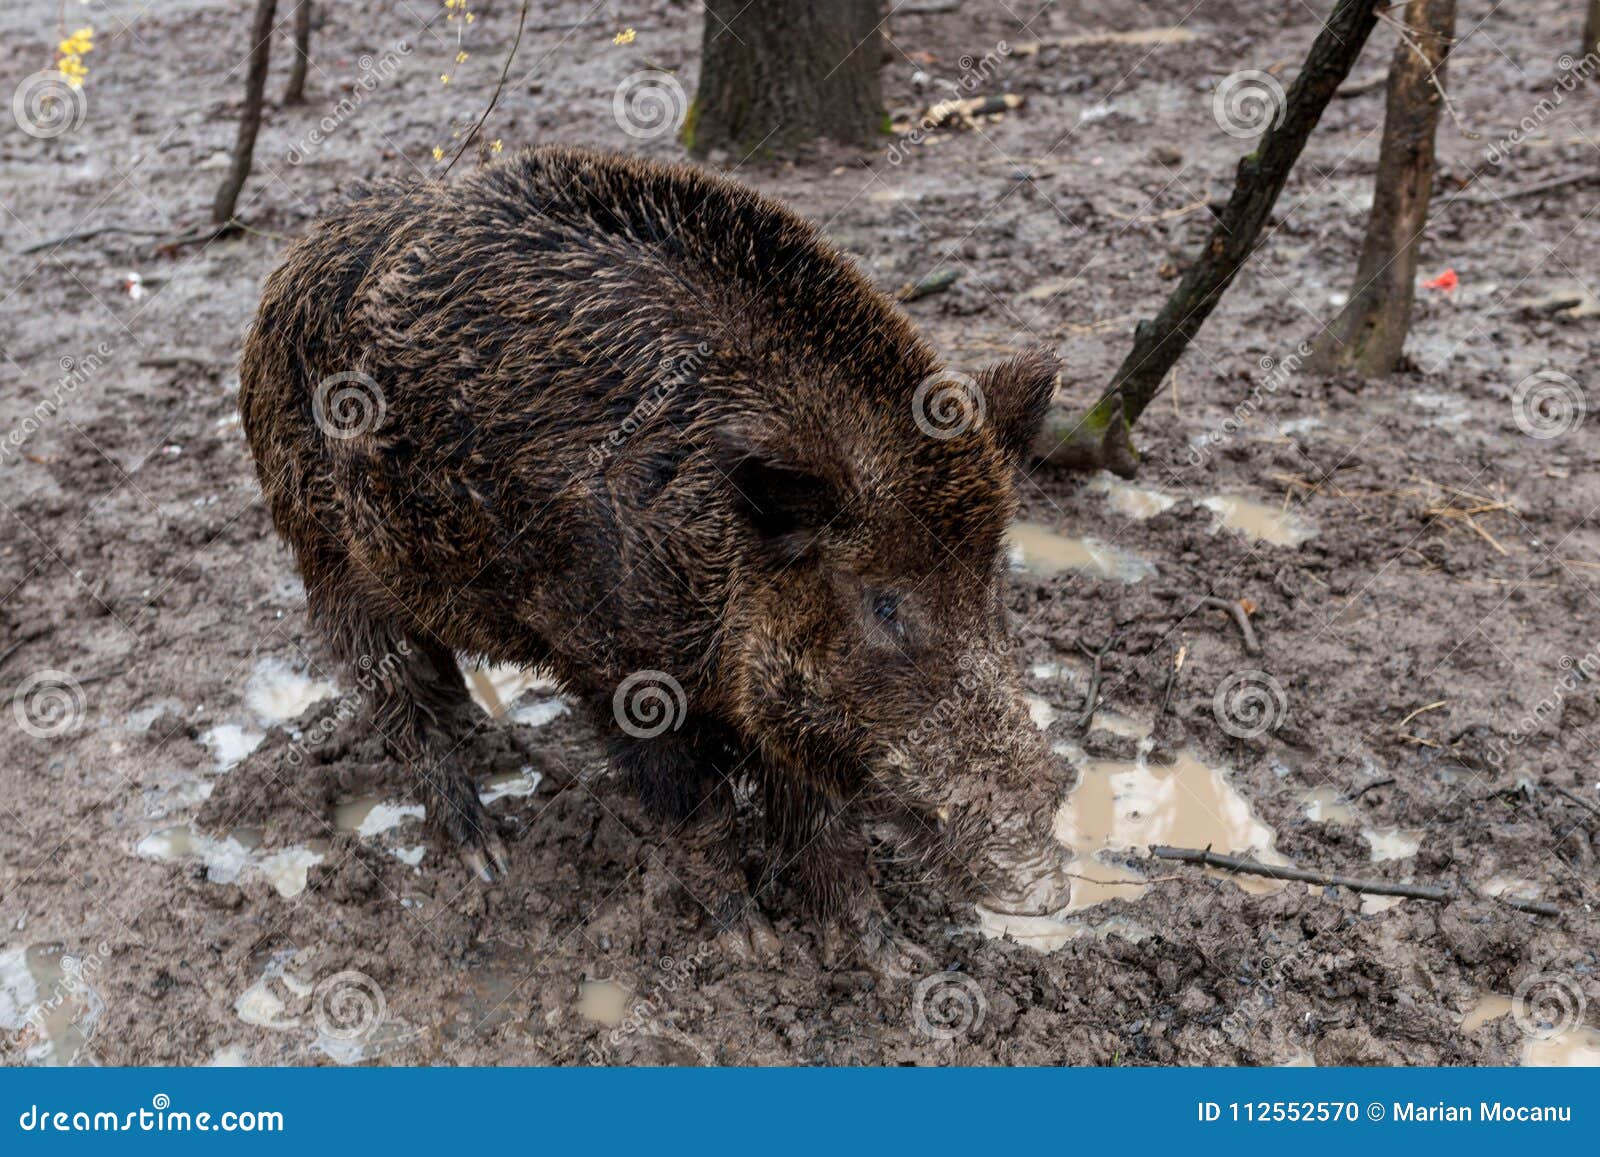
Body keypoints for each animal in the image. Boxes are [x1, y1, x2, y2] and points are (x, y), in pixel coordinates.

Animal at [238, 146, 1072, 969]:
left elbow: (820, 823)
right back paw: (488, 855)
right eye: (885, 602)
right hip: (323, 553)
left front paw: (892, 957)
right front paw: (754, 948)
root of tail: (289, 268)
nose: (1045, 887)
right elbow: (697, 814)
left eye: (993, 584)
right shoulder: (616, 670)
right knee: (390, 690)